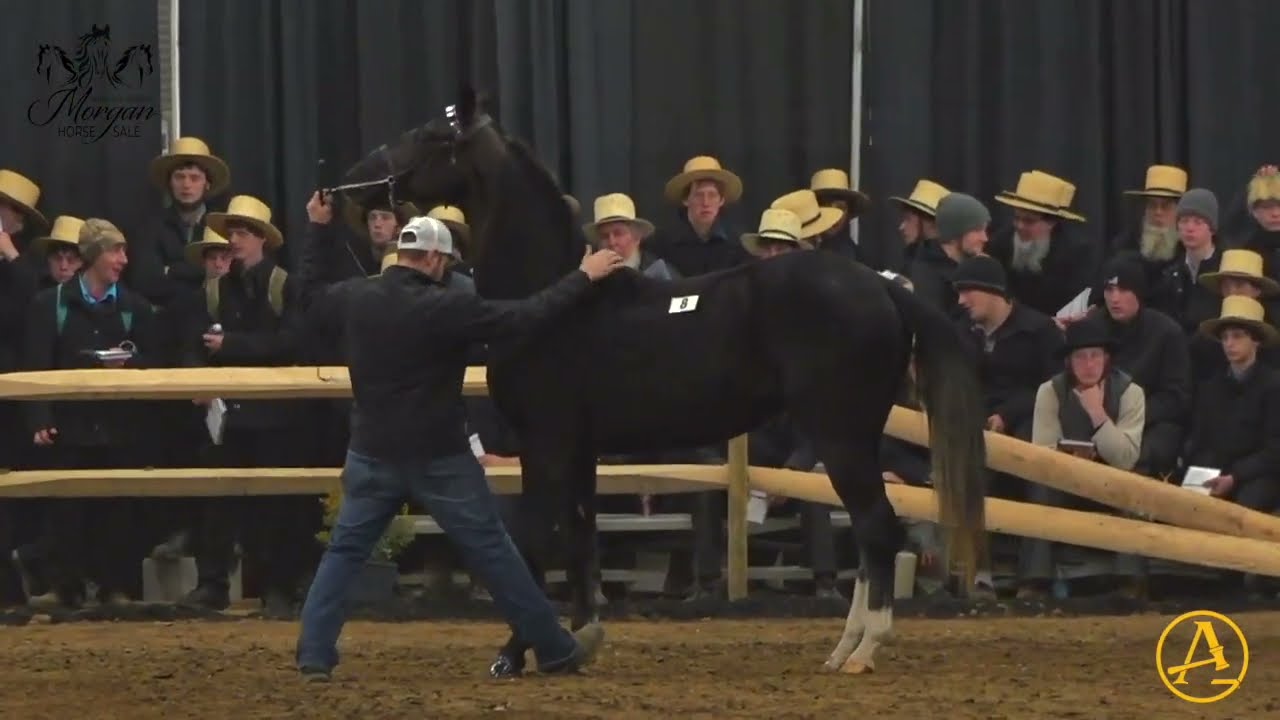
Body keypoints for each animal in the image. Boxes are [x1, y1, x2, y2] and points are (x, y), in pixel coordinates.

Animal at [341, 92, 988, 677]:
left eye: (431, 135)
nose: (352, 183)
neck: (558, 302)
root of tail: (880, 287)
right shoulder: (579, 450)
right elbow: (580, 535)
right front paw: (581, 639)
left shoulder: (543, 444)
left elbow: (531, 540)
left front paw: (513, 653)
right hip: (857, 437)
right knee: (870, 531)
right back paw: (843, 648)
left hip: (840, 436)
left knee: (878, 527)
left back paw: (862, 650)